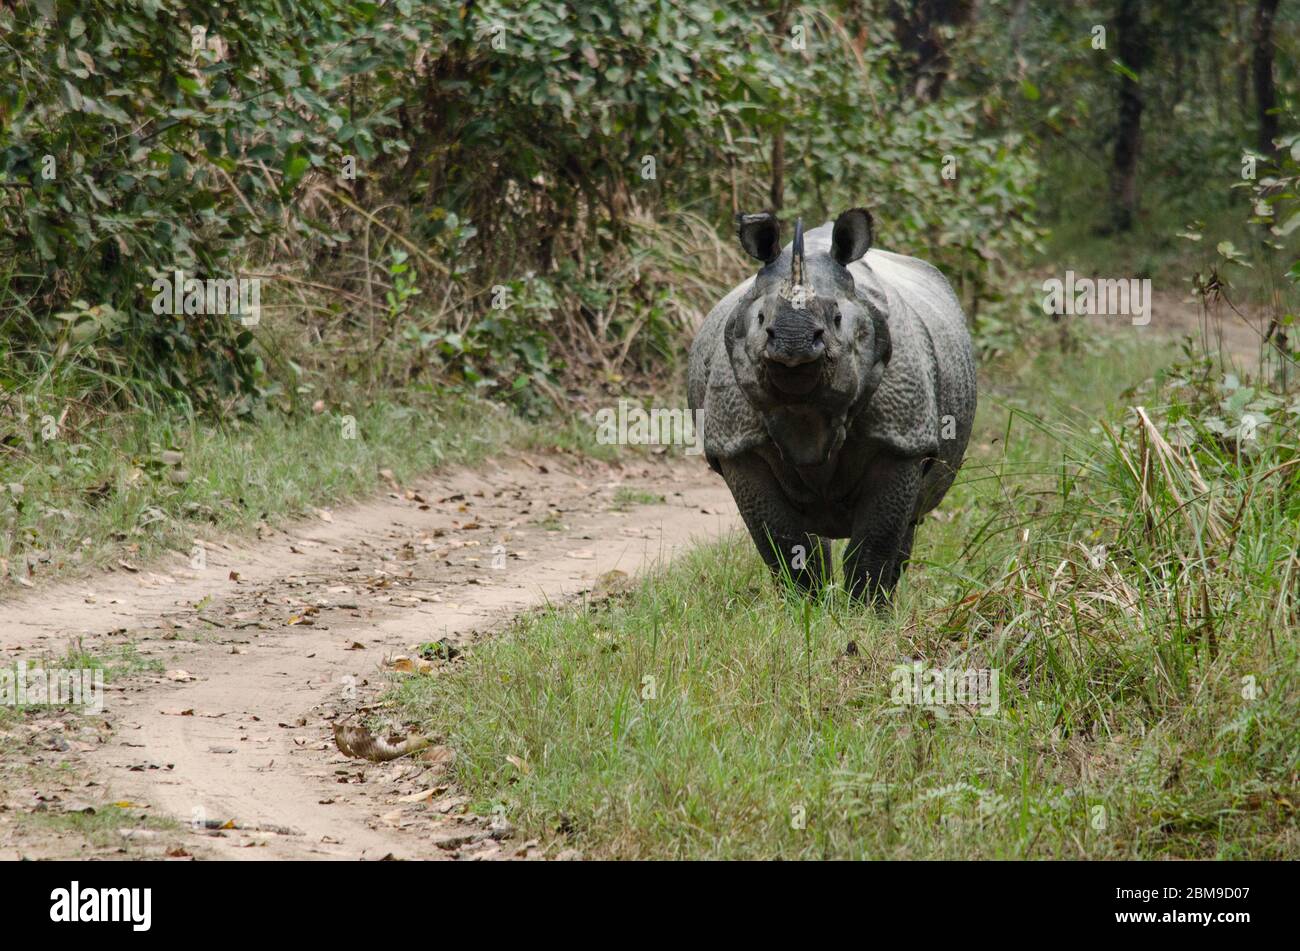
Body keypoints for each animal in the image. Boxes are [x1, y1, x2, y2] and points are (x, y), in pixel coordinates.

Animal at [687, 208, 976, 603]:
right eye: (760, 320)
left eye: (838, 319)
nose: (794, 345)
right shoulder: (738, 445)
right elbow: (785, 543)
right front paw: (804, 607)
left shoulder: (900, 439)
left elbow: (875, 543)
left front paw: (865, 610)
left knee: (910, 521)